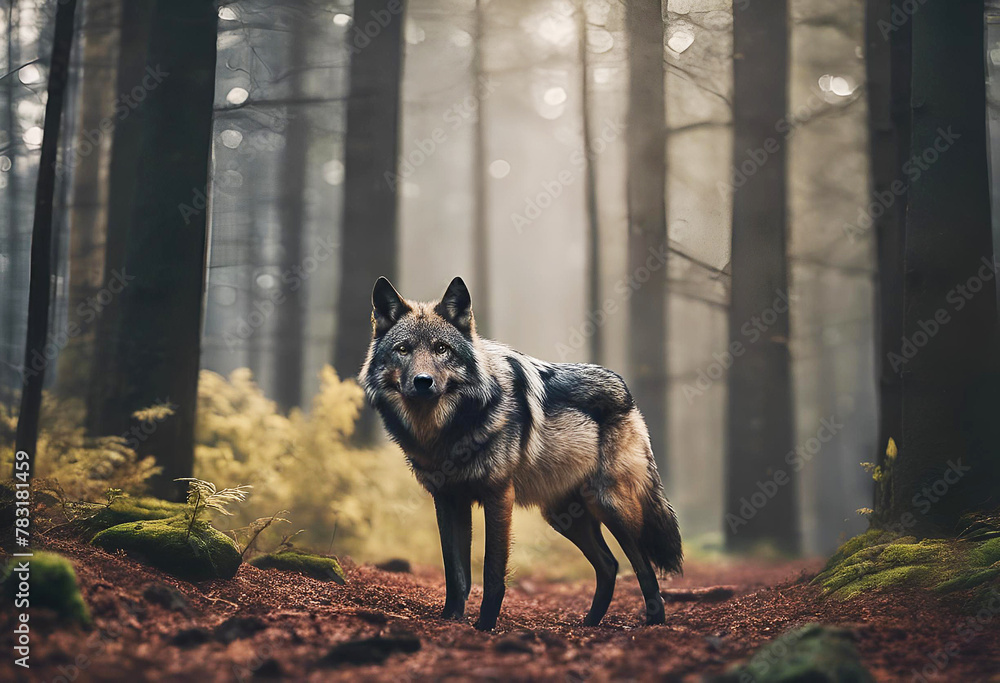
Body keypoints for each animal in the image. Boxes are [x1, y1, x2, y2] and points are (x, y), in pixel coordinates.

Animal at [360, 276, 682, 631]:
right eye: (403, 349)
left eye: (441, 349)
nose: (422, 382)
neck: (446, 432)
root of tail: (626, 392)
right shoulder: (448, 500)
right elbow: (455, 572)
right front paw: (451, 618)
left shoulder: (499, 495)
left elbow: (492, 570)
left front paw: (484, 626)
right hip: (563, 518)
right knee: (609, 565)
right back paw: (589, 622)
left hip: (610, 506)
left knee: (644, 567)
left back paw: (654, 622)